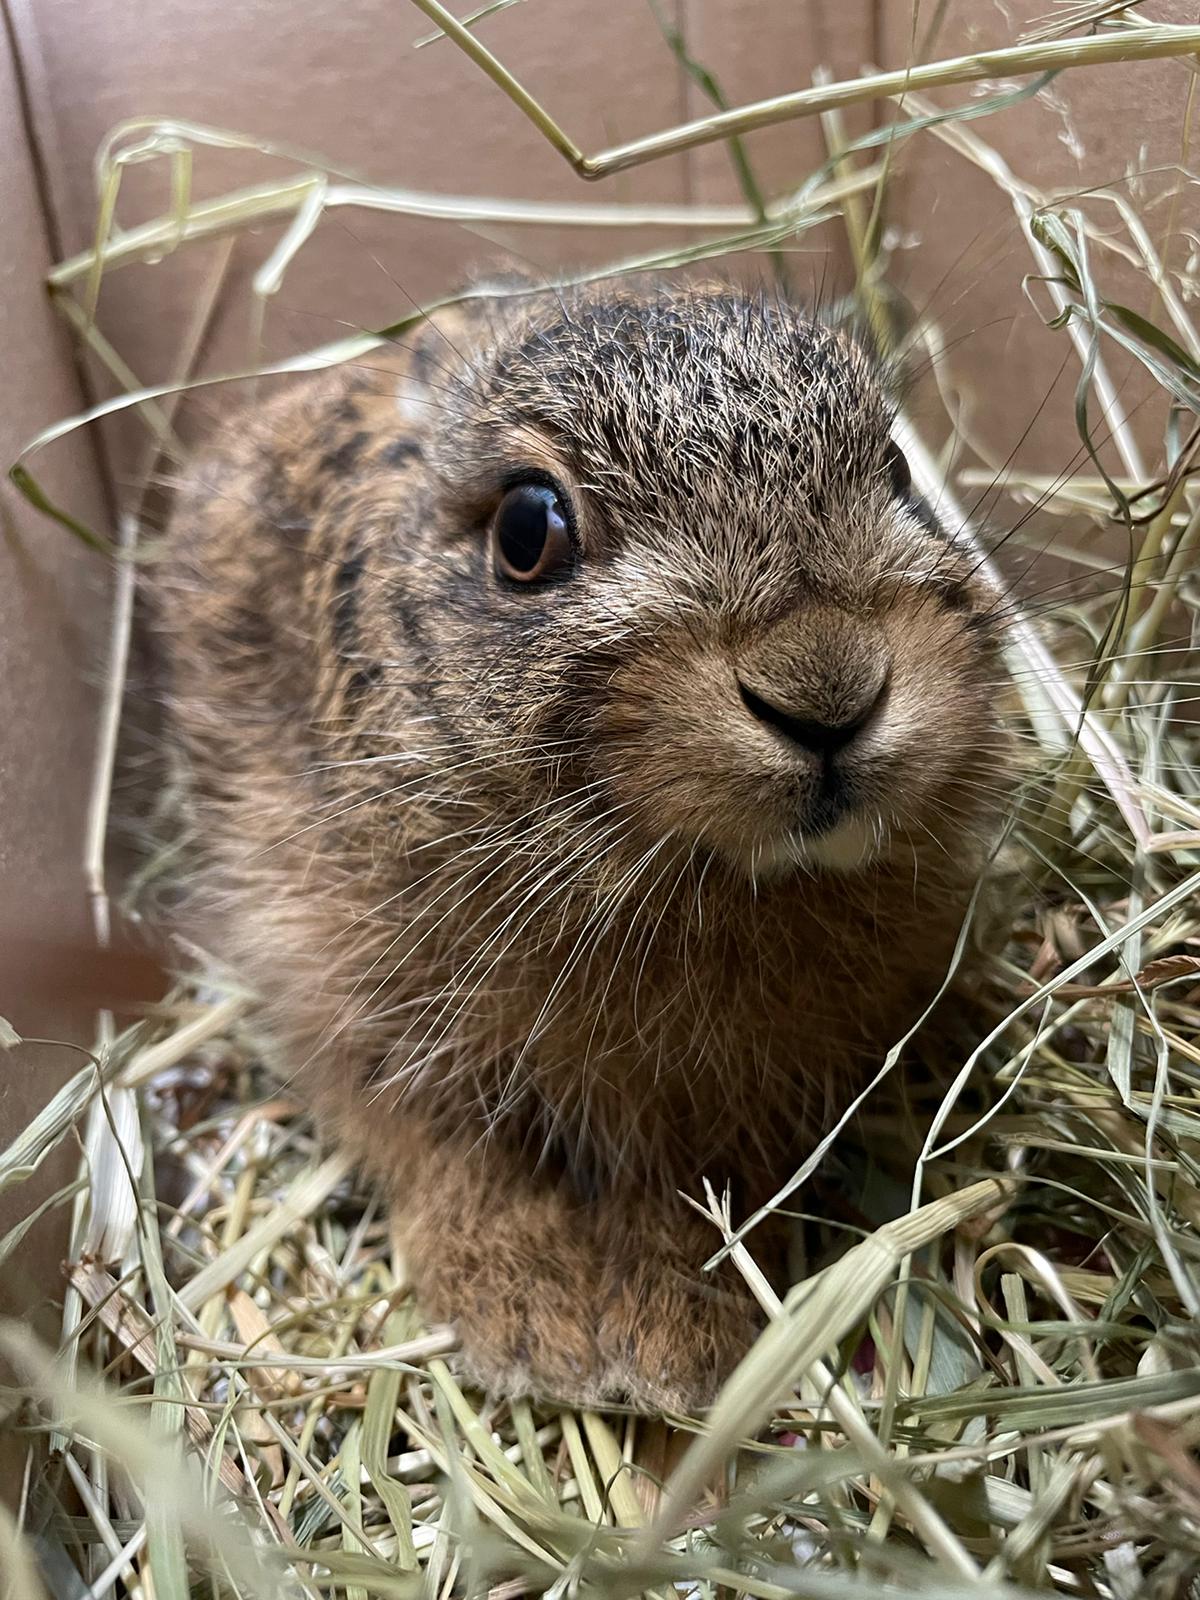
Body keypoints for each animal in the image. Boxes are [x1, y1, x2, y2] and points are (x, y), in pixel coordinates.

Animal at [152, 278, 1012, 1411]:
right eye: (528, 529)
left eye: (900, 471)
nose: (826, 688)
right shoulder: (345, 987)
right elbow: (451, 1153)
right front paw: (533, 1323)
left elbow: (696, 1184)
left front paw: (668, 1342)